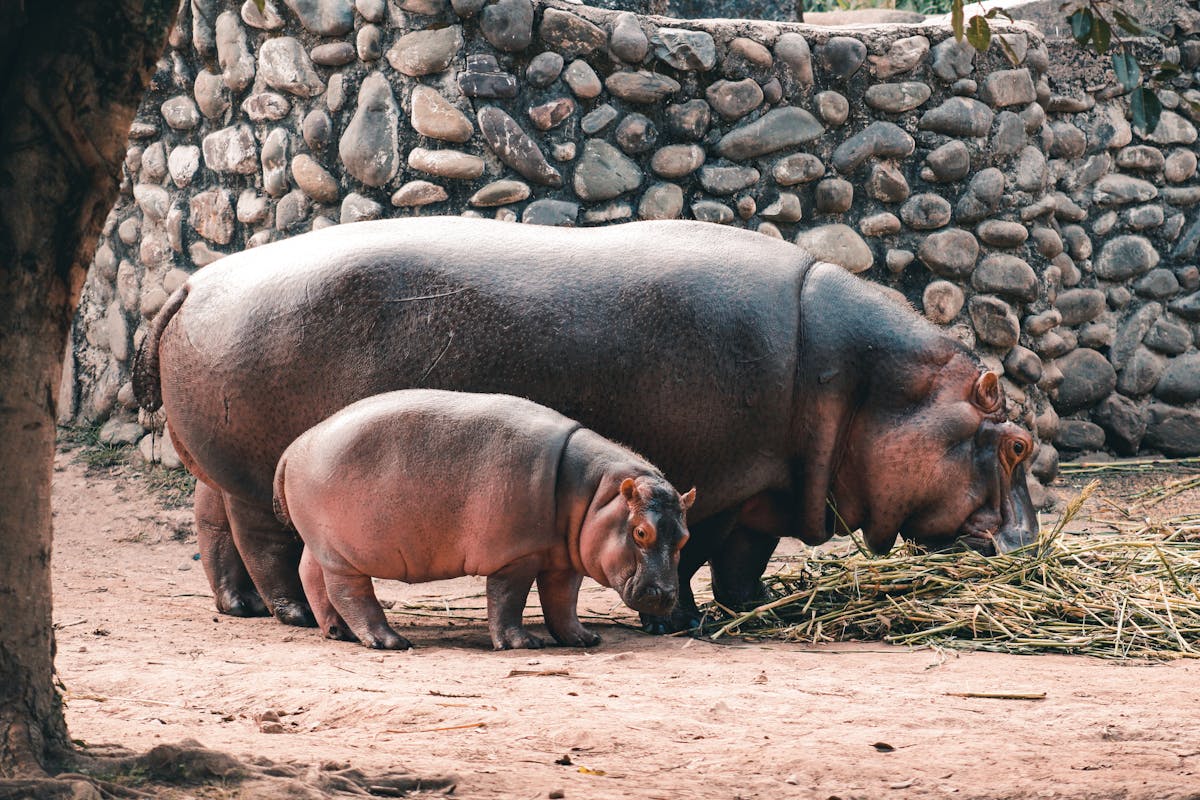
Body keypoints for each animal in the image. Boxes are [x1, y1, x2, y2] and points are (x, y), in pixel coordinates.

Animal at [272, 389, 694, 650]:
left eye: (685, 537)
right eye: (641, 532)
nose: (666, 596)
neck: (597, 494)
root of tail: (293, 448)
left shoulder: (564, 558)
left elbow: (562, 600)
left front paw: (583, 638)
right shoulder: (516, 555)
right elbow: (508, 600)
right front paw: (522, 643)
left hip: (321, 543)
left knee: (311, 573)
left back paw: (337, 632)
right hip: (345, 552)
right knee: (350, 593)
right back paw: (388, 641)